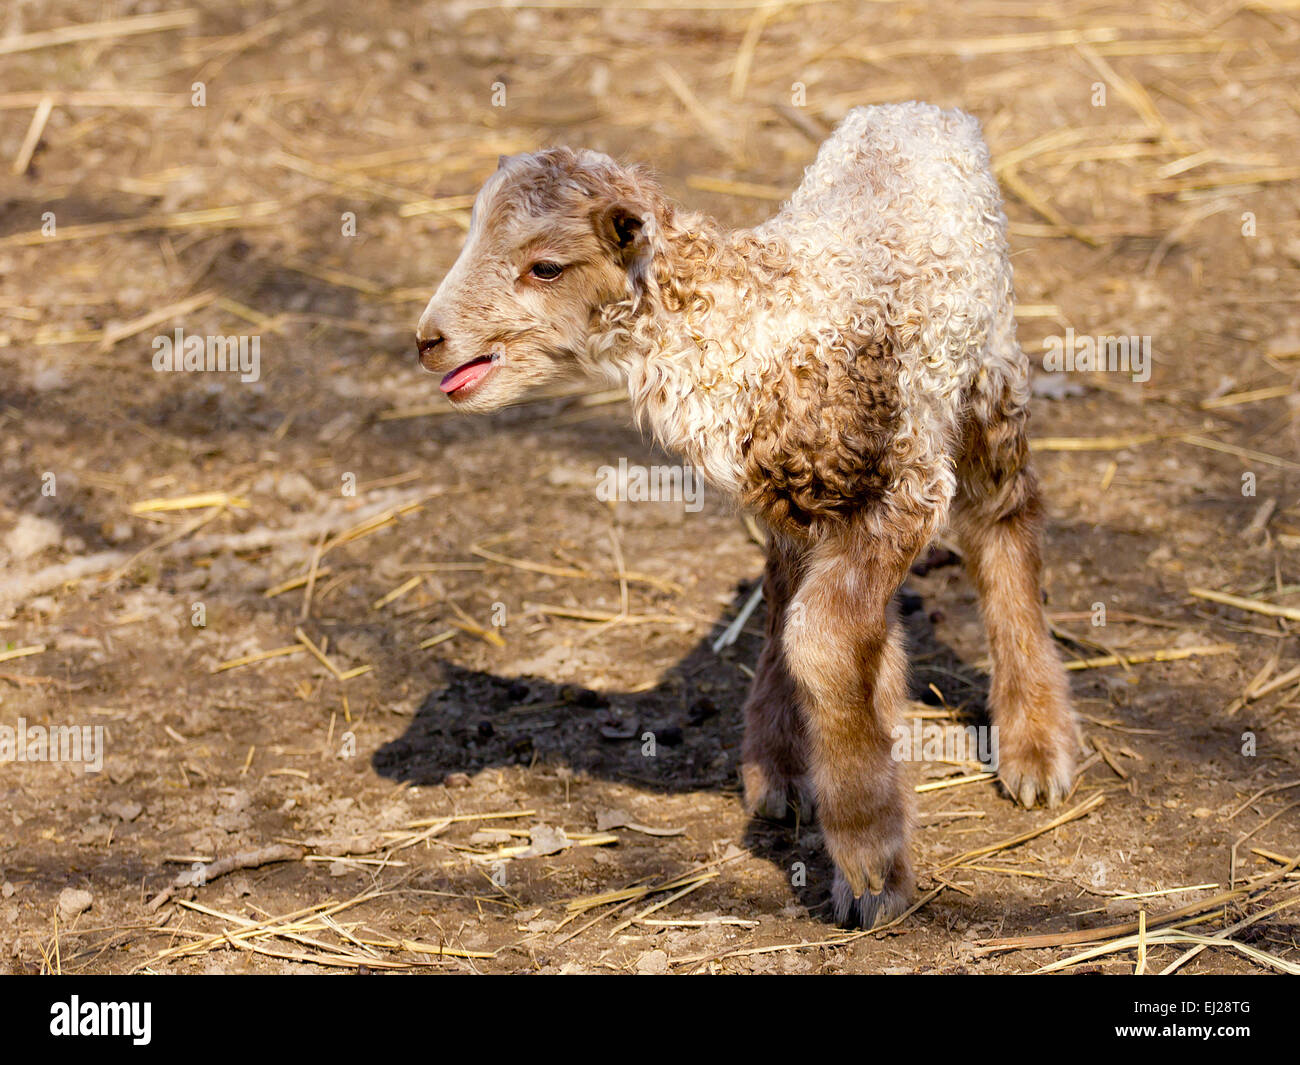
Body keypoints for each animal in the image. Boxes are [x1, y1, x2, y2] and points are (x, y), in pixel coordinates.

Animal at [413, 104, 1076, 931]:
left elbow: (821, 640)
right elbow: (804, 621)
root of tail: (918, 109)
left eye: (546, 267)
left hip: (988, 371)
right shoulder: (802, 497)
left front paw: (870, 865)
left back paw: (1036, 746)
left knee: (1005, 518)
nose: (428, 339)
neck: (749, 324)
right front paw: (818, 784)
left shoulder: (907, 485)